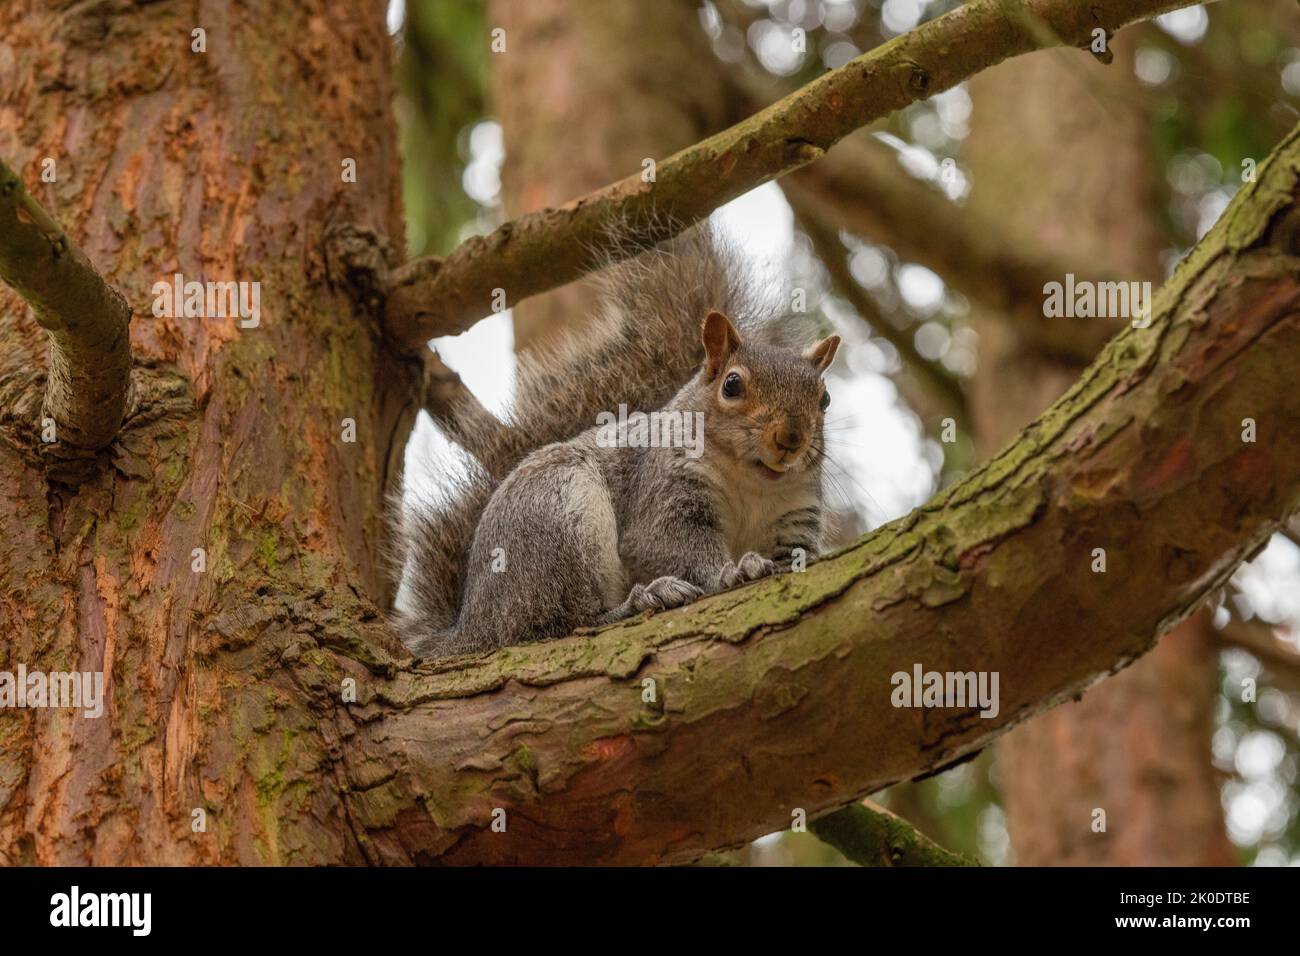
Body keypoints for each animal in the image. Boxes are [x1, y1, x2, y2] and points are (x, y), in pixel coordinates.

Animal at [393, 225, 840, 658]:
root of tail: (472, 626)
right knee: (559, 624)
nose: (791, 438)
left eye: (825, 399)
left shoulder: (795, 513)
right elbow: (665, 542)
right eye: (732, 385)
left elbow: (797, 553)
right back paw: (640, 601)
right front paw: (734, 570)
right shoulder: (663, 489)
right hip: (554, 517)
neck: (752, 483)